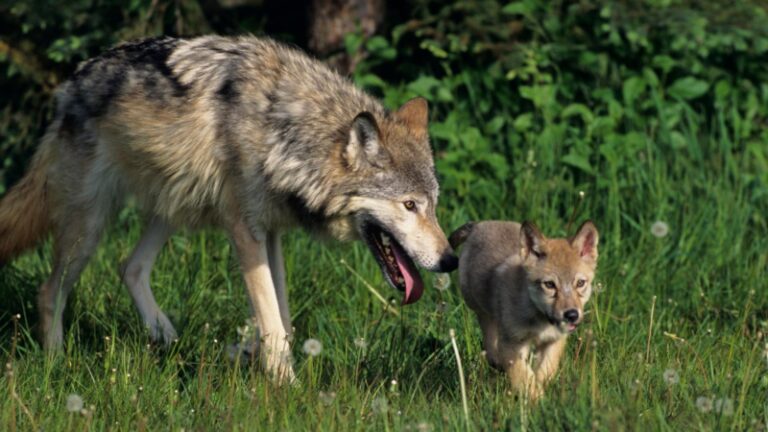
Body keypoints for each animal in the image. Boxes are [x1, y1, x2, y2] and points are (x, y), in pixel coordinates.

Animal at [0, 35, 458, 383]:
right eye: (409, 205)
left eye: (433, 205)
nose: (451, 260)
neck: (285, 132)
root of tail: (70, 86)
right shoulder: (246, 230)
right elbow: (273, 324)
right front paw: (288, 388)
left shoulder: (272, 232)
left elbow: (283, 318)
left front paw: (263, 365)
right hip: (89, 226)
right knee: (50, 291)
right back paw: (56, 364)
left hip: (170, 209)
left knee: (129, 267)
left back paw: (165, 335)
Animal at [449, 220, 599, 400]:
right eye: (549, 285)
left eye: (580, 283)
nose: (571, 315)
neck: (541, 321)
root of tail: (480, 224)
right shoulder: (513, 345)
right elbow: (526, 380)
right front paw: (539, 402)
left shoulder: (554, 342)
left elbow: (544, 373)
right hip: (480, 307)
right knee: (490, 340)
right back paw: (496, 360)